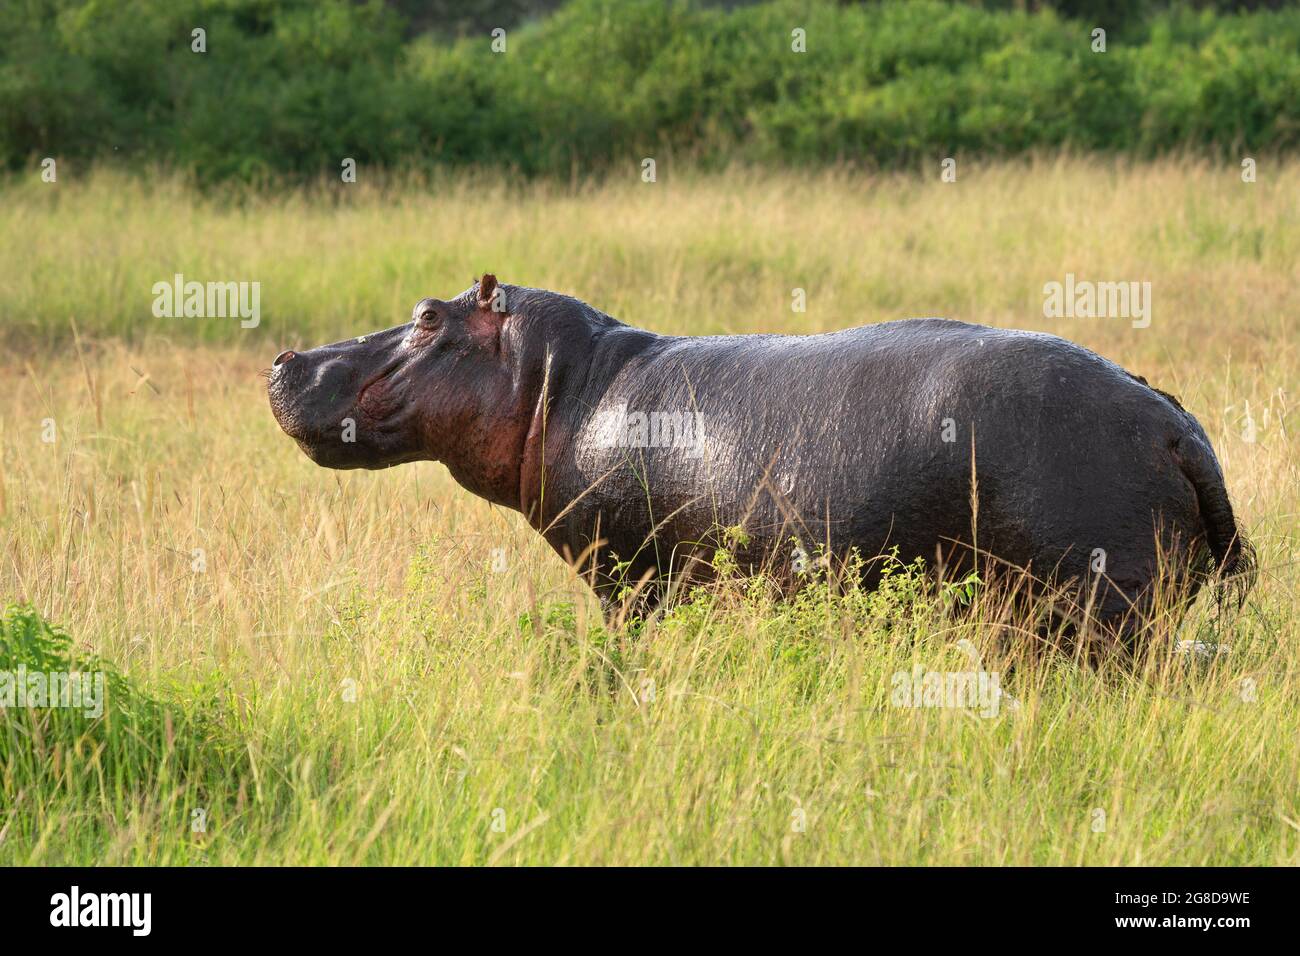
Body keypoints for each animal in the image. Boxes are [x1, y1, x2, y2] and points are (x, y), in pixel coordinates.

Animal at [268, 275, 1254, 642]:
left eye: (428, 316)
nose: (285, 357)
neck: (564, 380)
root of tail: (1175, 427)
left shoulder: (632, 579)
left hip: (1099, 607)